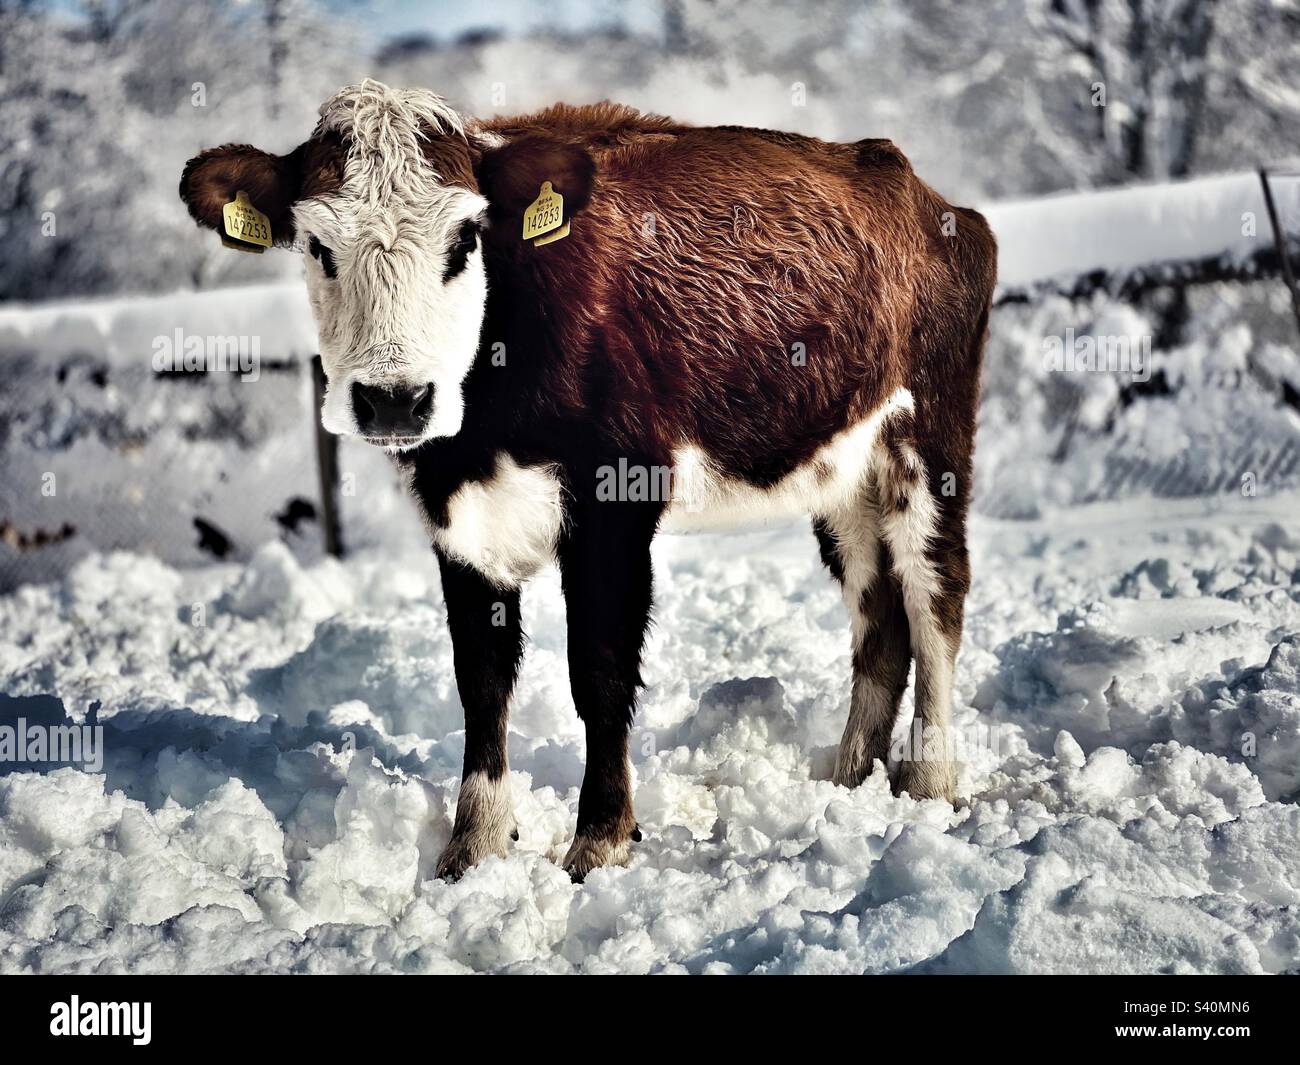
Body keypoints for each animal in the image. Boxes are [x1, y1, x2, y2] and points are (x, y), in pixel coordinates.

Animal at [179, 80, 996, 882]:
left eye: (464, 239)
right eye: (319, 245)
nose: (394, 398)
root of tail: (925, 194)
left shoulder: (618, 500)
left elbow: (599, 669)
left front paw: (600, 838)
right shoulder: (457, 516)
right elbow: (481, 676)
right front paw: (473, 844)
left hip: (929, 442)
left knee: (936, 595)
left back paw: (930, 781)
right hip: (843, 479)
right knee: (880, 616)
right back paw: (851, 779)